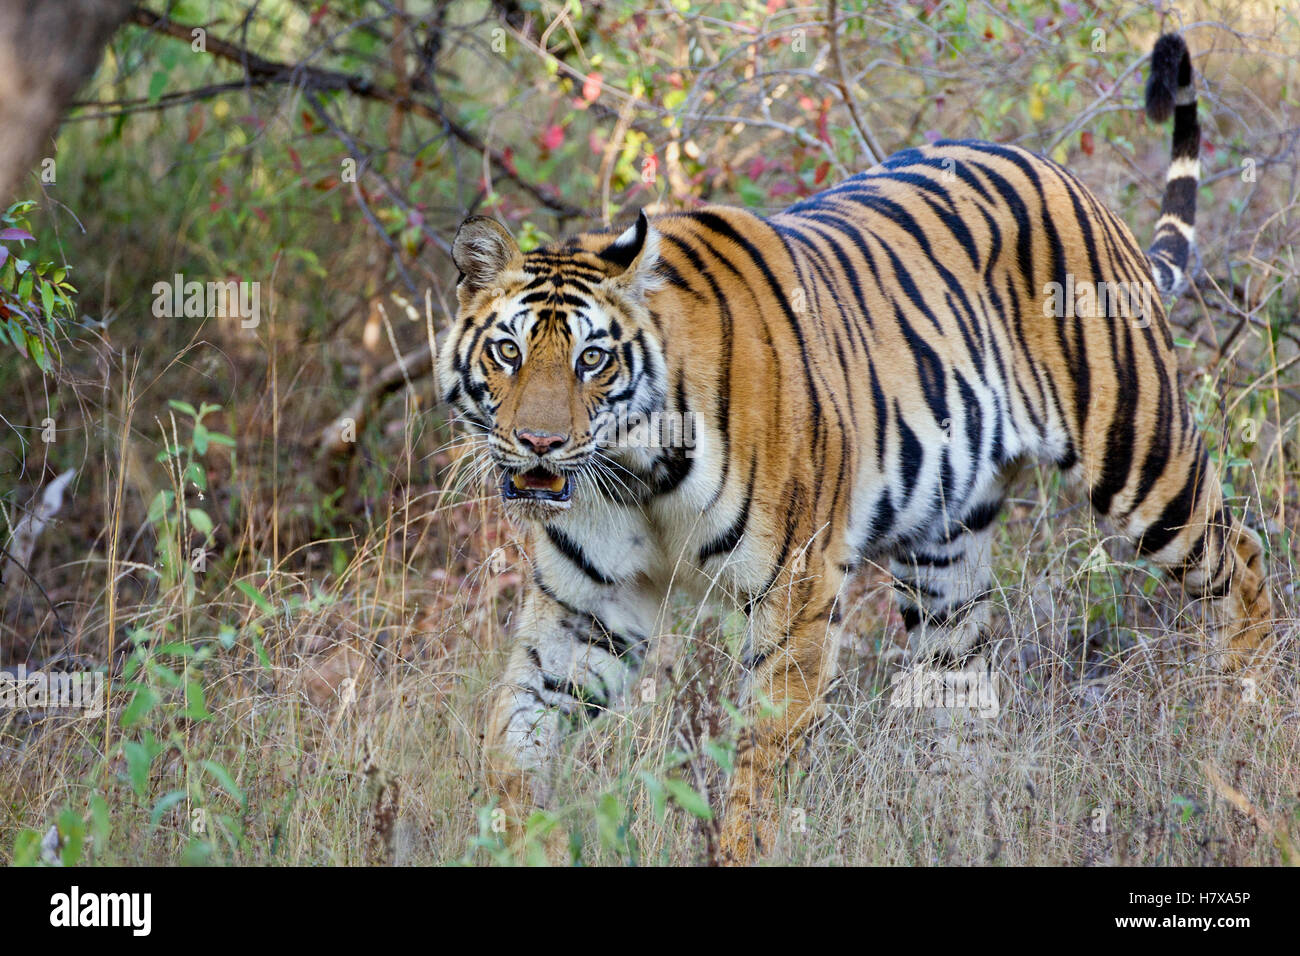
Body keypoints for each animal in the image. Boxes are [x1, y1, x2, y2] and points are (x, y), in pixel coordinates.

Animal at [437, 32, 1273, 864]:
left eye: (592, 360)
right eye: (508, 352)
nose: (539, 443)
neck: (636, 473)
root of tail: (1058, 171)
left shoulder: (796, 588)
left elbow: (761, 763)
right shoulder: (586, 605)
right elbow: (514, 738)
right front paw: (517, 840)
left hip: (1138, 452)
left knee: (1243, 556)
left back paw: (1242, 729)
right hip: (945, 550)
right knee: (958, 686)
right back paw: (955, 825)